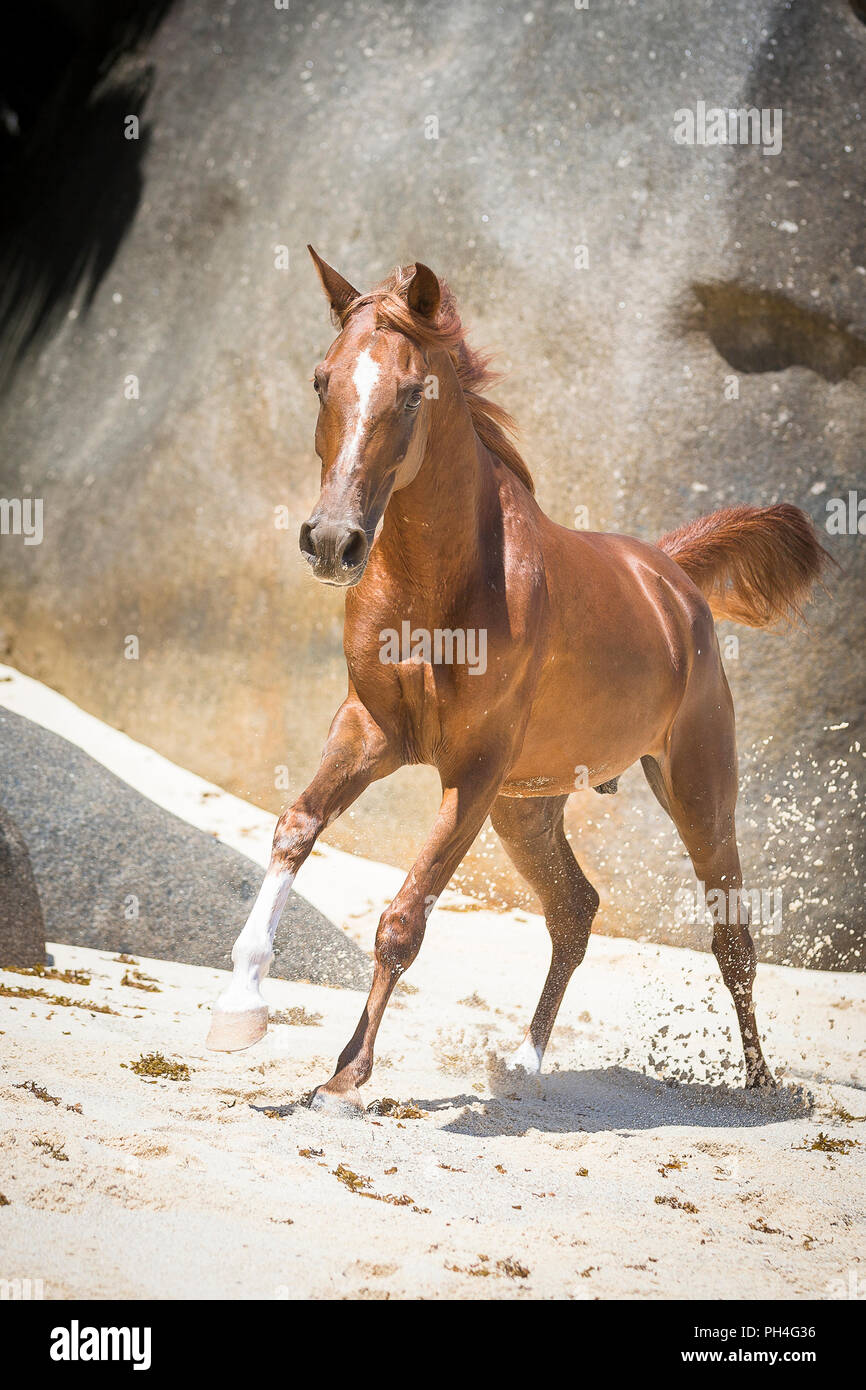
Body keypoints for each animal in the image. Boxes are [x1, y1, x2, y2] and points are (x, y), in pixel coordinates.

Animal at [206, 248, 829, 1112]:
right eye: (321, 379)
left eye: (411, 392)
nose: (332, 542)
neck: (438, 590)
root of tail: (671, 574)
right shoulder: (369, 730)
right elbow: (295, 828)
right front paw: (238, 1010)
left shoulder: (470, 770)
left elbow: (403, 919)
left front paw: (345, 1077)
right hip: (526, 808)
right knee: (575, 910)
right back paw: (524, 1062)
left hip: (698, 790)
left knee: (731, 936)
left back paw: (761, 1086)